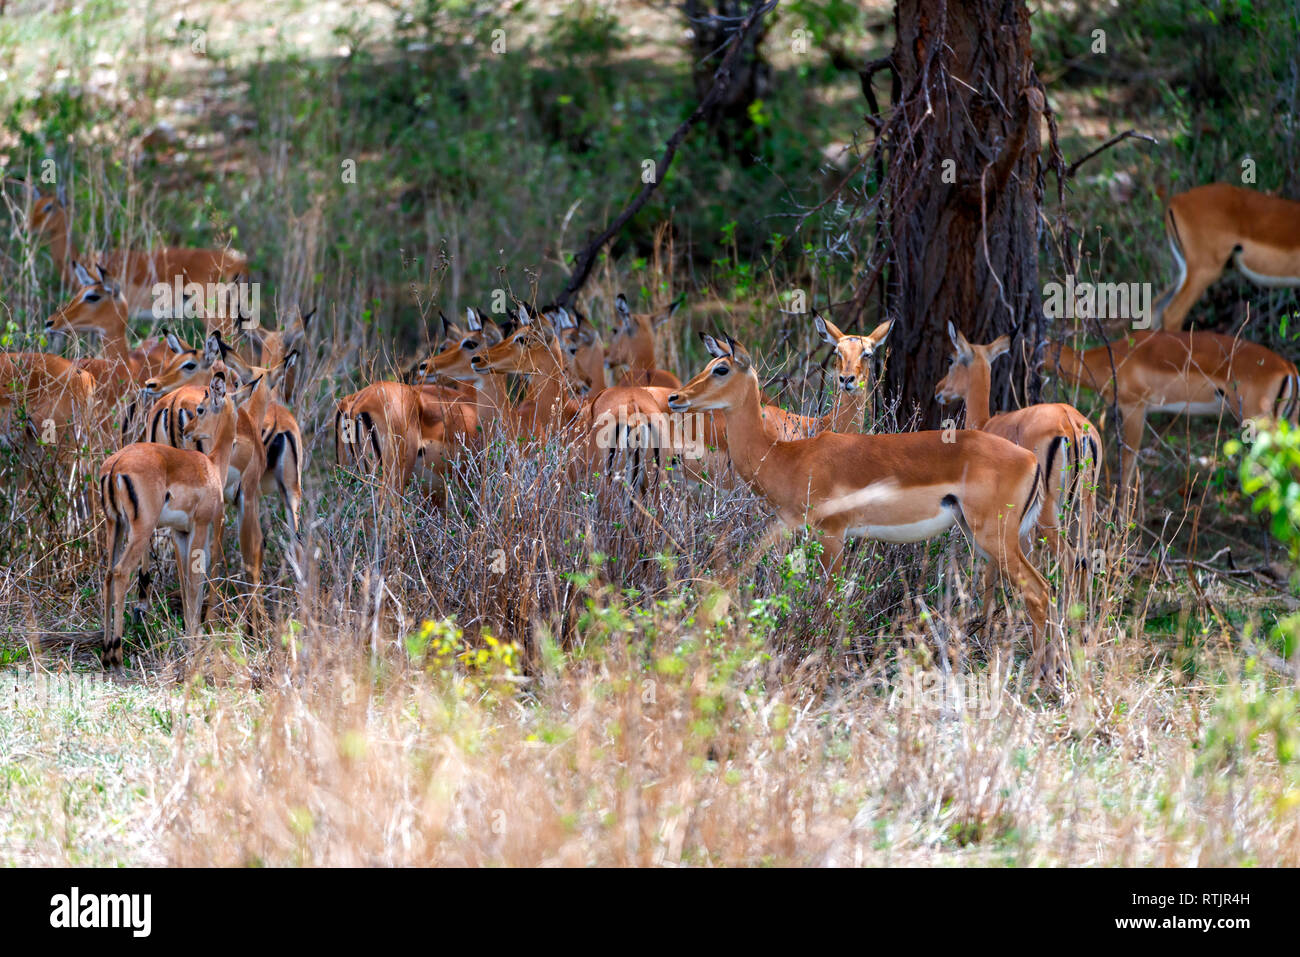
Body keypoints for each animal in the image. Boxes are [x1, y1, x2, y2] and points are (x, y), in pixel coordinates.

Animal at [98, 370, 251, 669]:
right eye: (199, 407)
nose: (187, 430)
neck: (212, 466)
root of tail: (116, 465)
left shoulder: (181, 533)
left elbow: (184, 581)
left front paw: (191, 635)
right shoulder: (200, 526)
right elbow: (195, 581)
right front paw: (195, 640)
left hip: (115, 525)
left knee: (109, 575)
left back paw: (106, 651)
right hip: (141, 530)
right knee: (121, 573)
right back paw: (116, 653)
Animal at [667, 334, 1053, 669]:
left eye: (721, 368)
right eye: (710, 363)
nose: (675, 398)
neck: (789, 457)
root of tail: (1030, 459)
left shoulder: (831, 535)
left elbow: (831, 602)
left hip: (994, 537)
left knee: (1038, 591)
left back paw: (1036, 677)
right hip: (990, 537)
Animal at [935, 323, 1101, 562]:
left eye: (951, 359)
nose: (939, 390)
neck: (986, 424)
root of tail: (1071, 424)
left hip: (1047, 513)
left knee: (1070, 559)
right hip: (1085, 505)